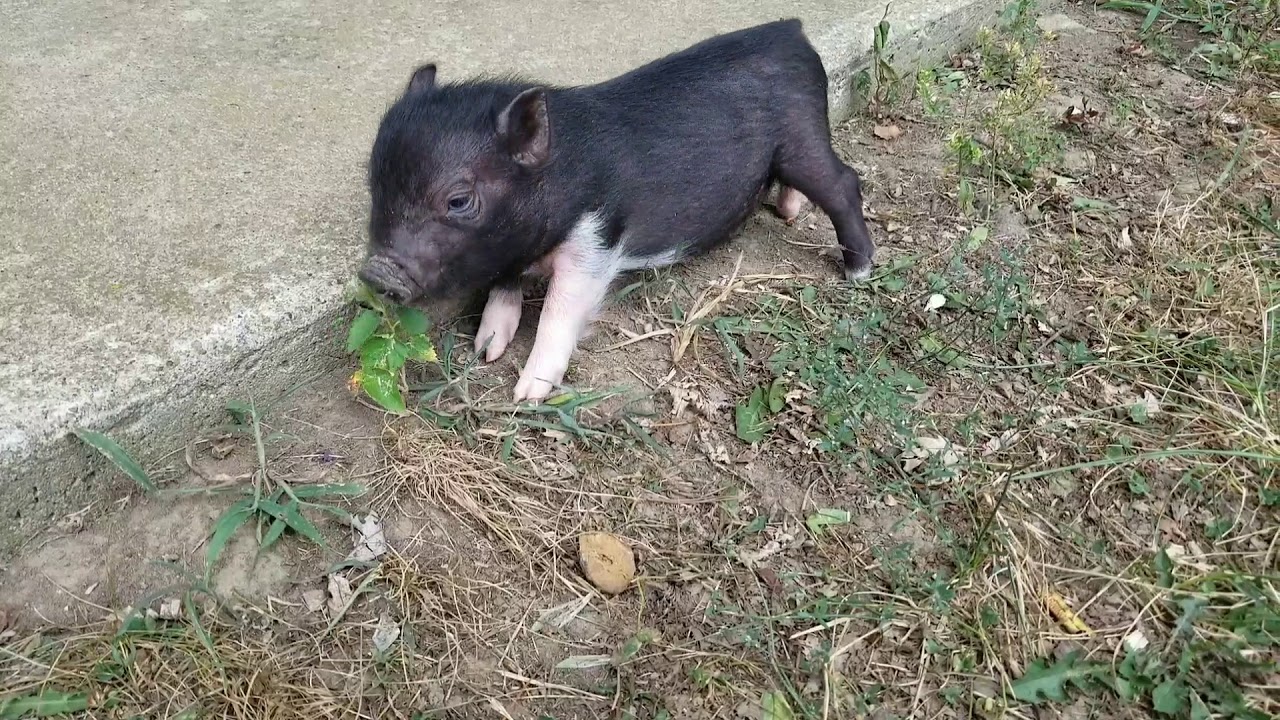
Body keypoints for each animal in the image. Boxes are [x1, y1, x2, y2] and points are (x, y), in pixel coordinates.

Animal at [358, 18, 876, 403]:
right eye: (374, 184)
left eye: (459, 201)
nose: (375, 272)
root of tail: (790, 31)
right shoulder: (510, 244)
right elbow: (504, 286)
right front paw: (486, 350)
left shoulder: (596, 238)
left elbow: (559, 312)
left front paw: (526, 395)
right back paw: (789, 213)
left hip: (803, 133)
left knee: (844, 182)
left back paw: (858, 271)